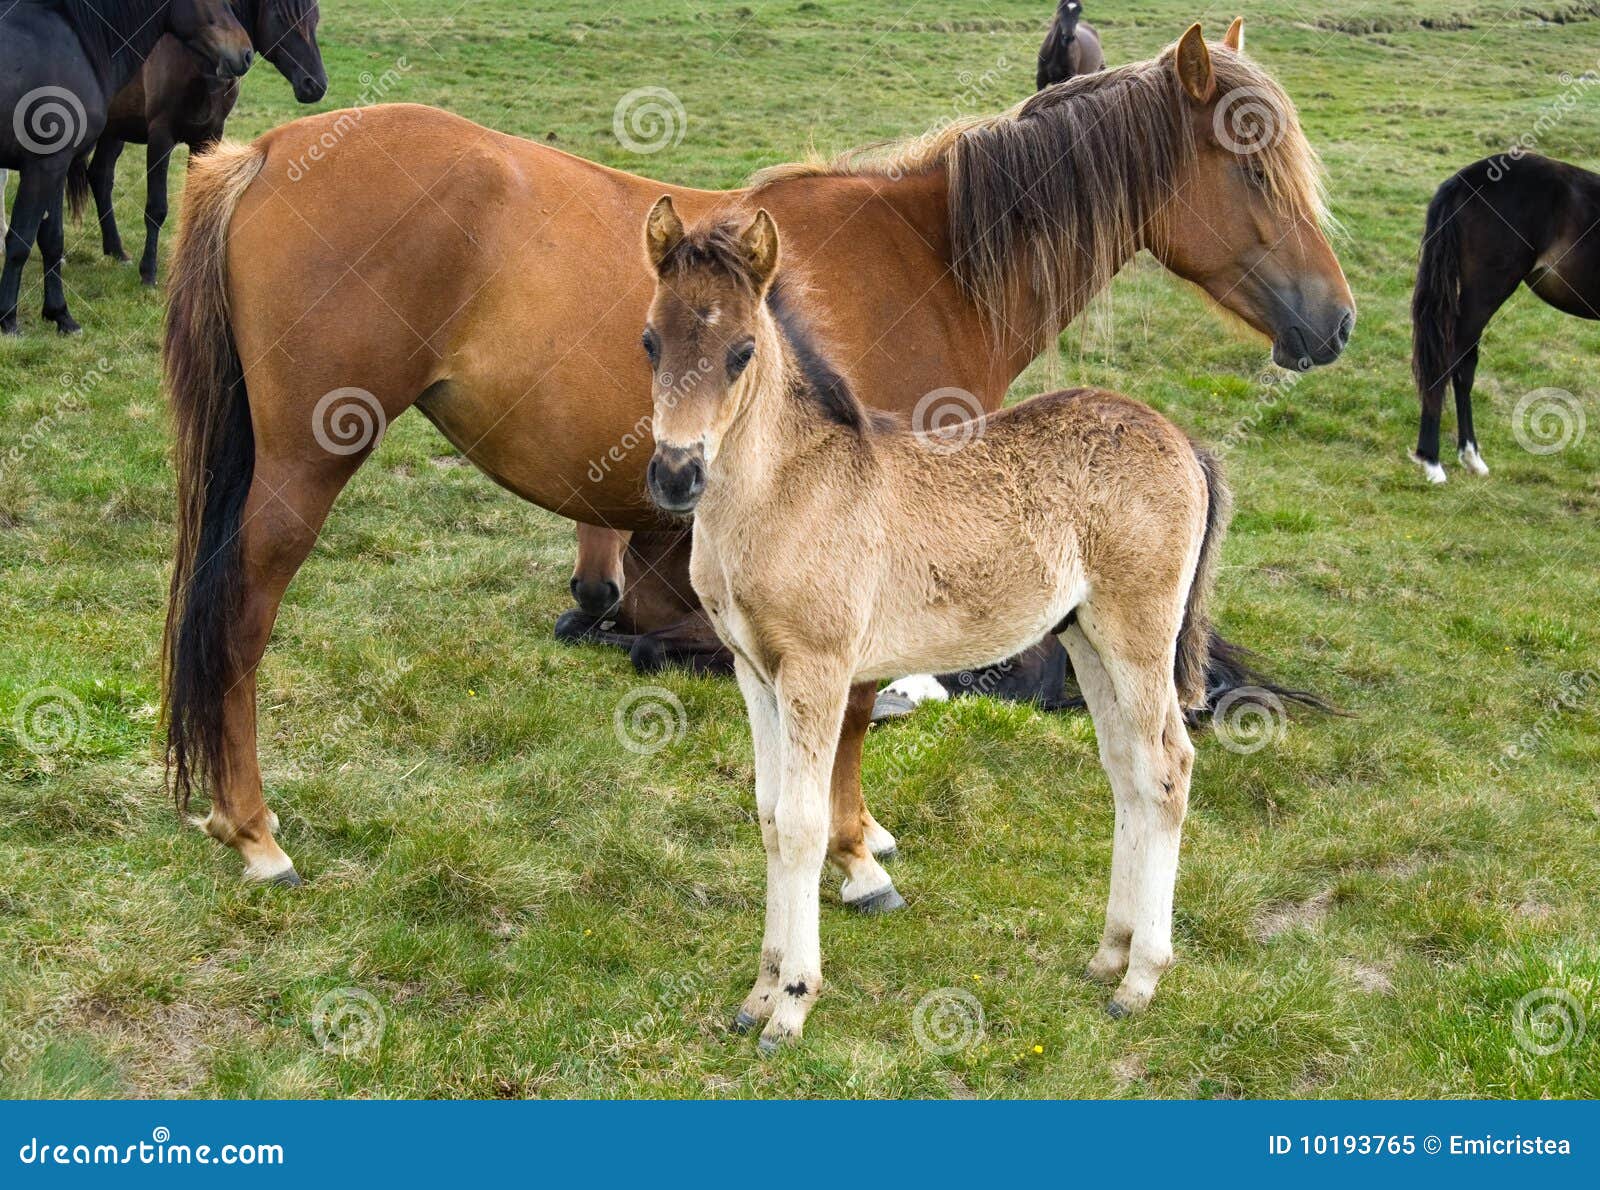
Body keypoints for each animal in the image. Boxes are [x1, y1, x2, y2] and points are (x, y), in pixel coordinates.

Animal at [0, 0, 254, 334]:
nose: (245, 53)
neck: (75, 42)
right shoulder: (44, 167)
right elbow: (20, 241)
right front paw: (8, 319)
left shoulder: (55, 167)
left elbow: (51, 240)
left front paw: (60, 315)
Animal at [68, 1, 327, 287]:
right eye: (281, 17)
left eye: (315, 19)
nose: (315, 85)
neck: (197, 58)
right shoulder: (161, 137)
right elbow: (156, 208)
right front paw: (148, 272)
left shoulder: (208, 138)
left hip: (114, 130)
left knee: (100, 176)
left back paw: (115, 250)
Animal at [160, 21, 1352, 892]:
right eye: (1252, 167)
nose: (1333, 323)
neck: (930, 260)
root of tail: (265, 153)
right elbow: (858, 711)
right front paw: (854, 850)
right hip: (306, 466)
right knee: (241, 619)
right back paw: (255, 832)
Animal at [641, 199, 1230, 1045]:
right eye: (650, 340)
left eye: (741, 351)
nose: (676, 474)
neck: (781, 492)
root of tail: (1181, 439)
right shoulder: (754, 671)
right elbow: (769, 816)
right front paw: (757, 994)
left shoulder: (818, 670)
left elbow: (805, 824)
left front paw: (792, 1004)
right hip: (1086, 638)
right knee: (1126, 771)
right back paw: (1109, 955)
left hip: (1139, 632)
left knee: (1168, 768)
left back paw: (1142, 977)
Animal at [1411, 153, 1600, 483]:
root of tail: (1463, 179)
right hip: (1486, 291)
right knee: (1448, 360)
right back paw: (1432, 461)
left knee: (1464, 365)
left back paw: (1471, 457)